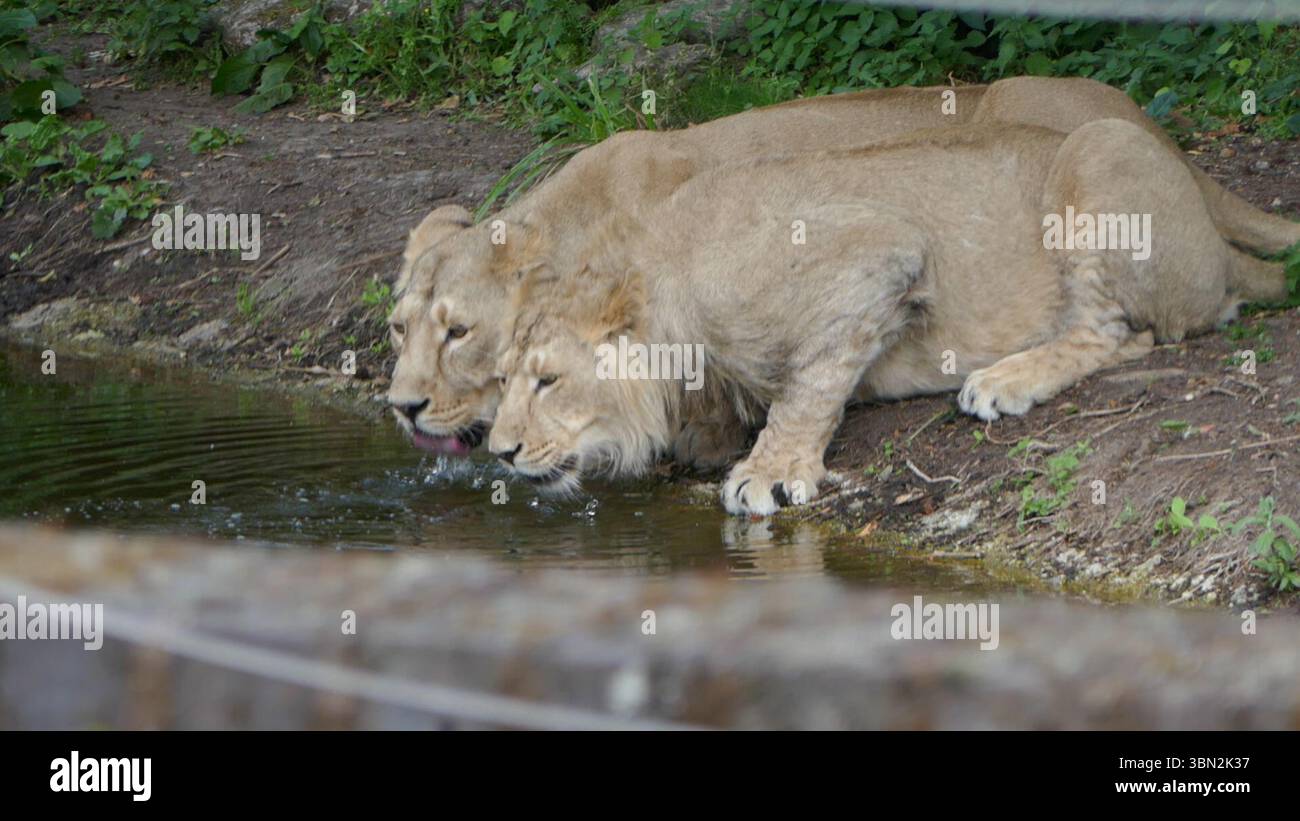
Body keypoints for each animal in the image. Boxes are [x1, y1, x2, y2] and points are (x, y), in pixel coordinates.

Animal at [486, 119, 1290, 515]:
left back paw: (1005, 380)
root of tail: (1216, 234)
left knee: (1127, 331)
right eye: (502, 380)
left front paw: (771, 471)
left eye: (548, 380)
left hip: (1100, 149)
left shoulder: (882, 250)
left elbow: (810, 384)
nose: (497, 452)